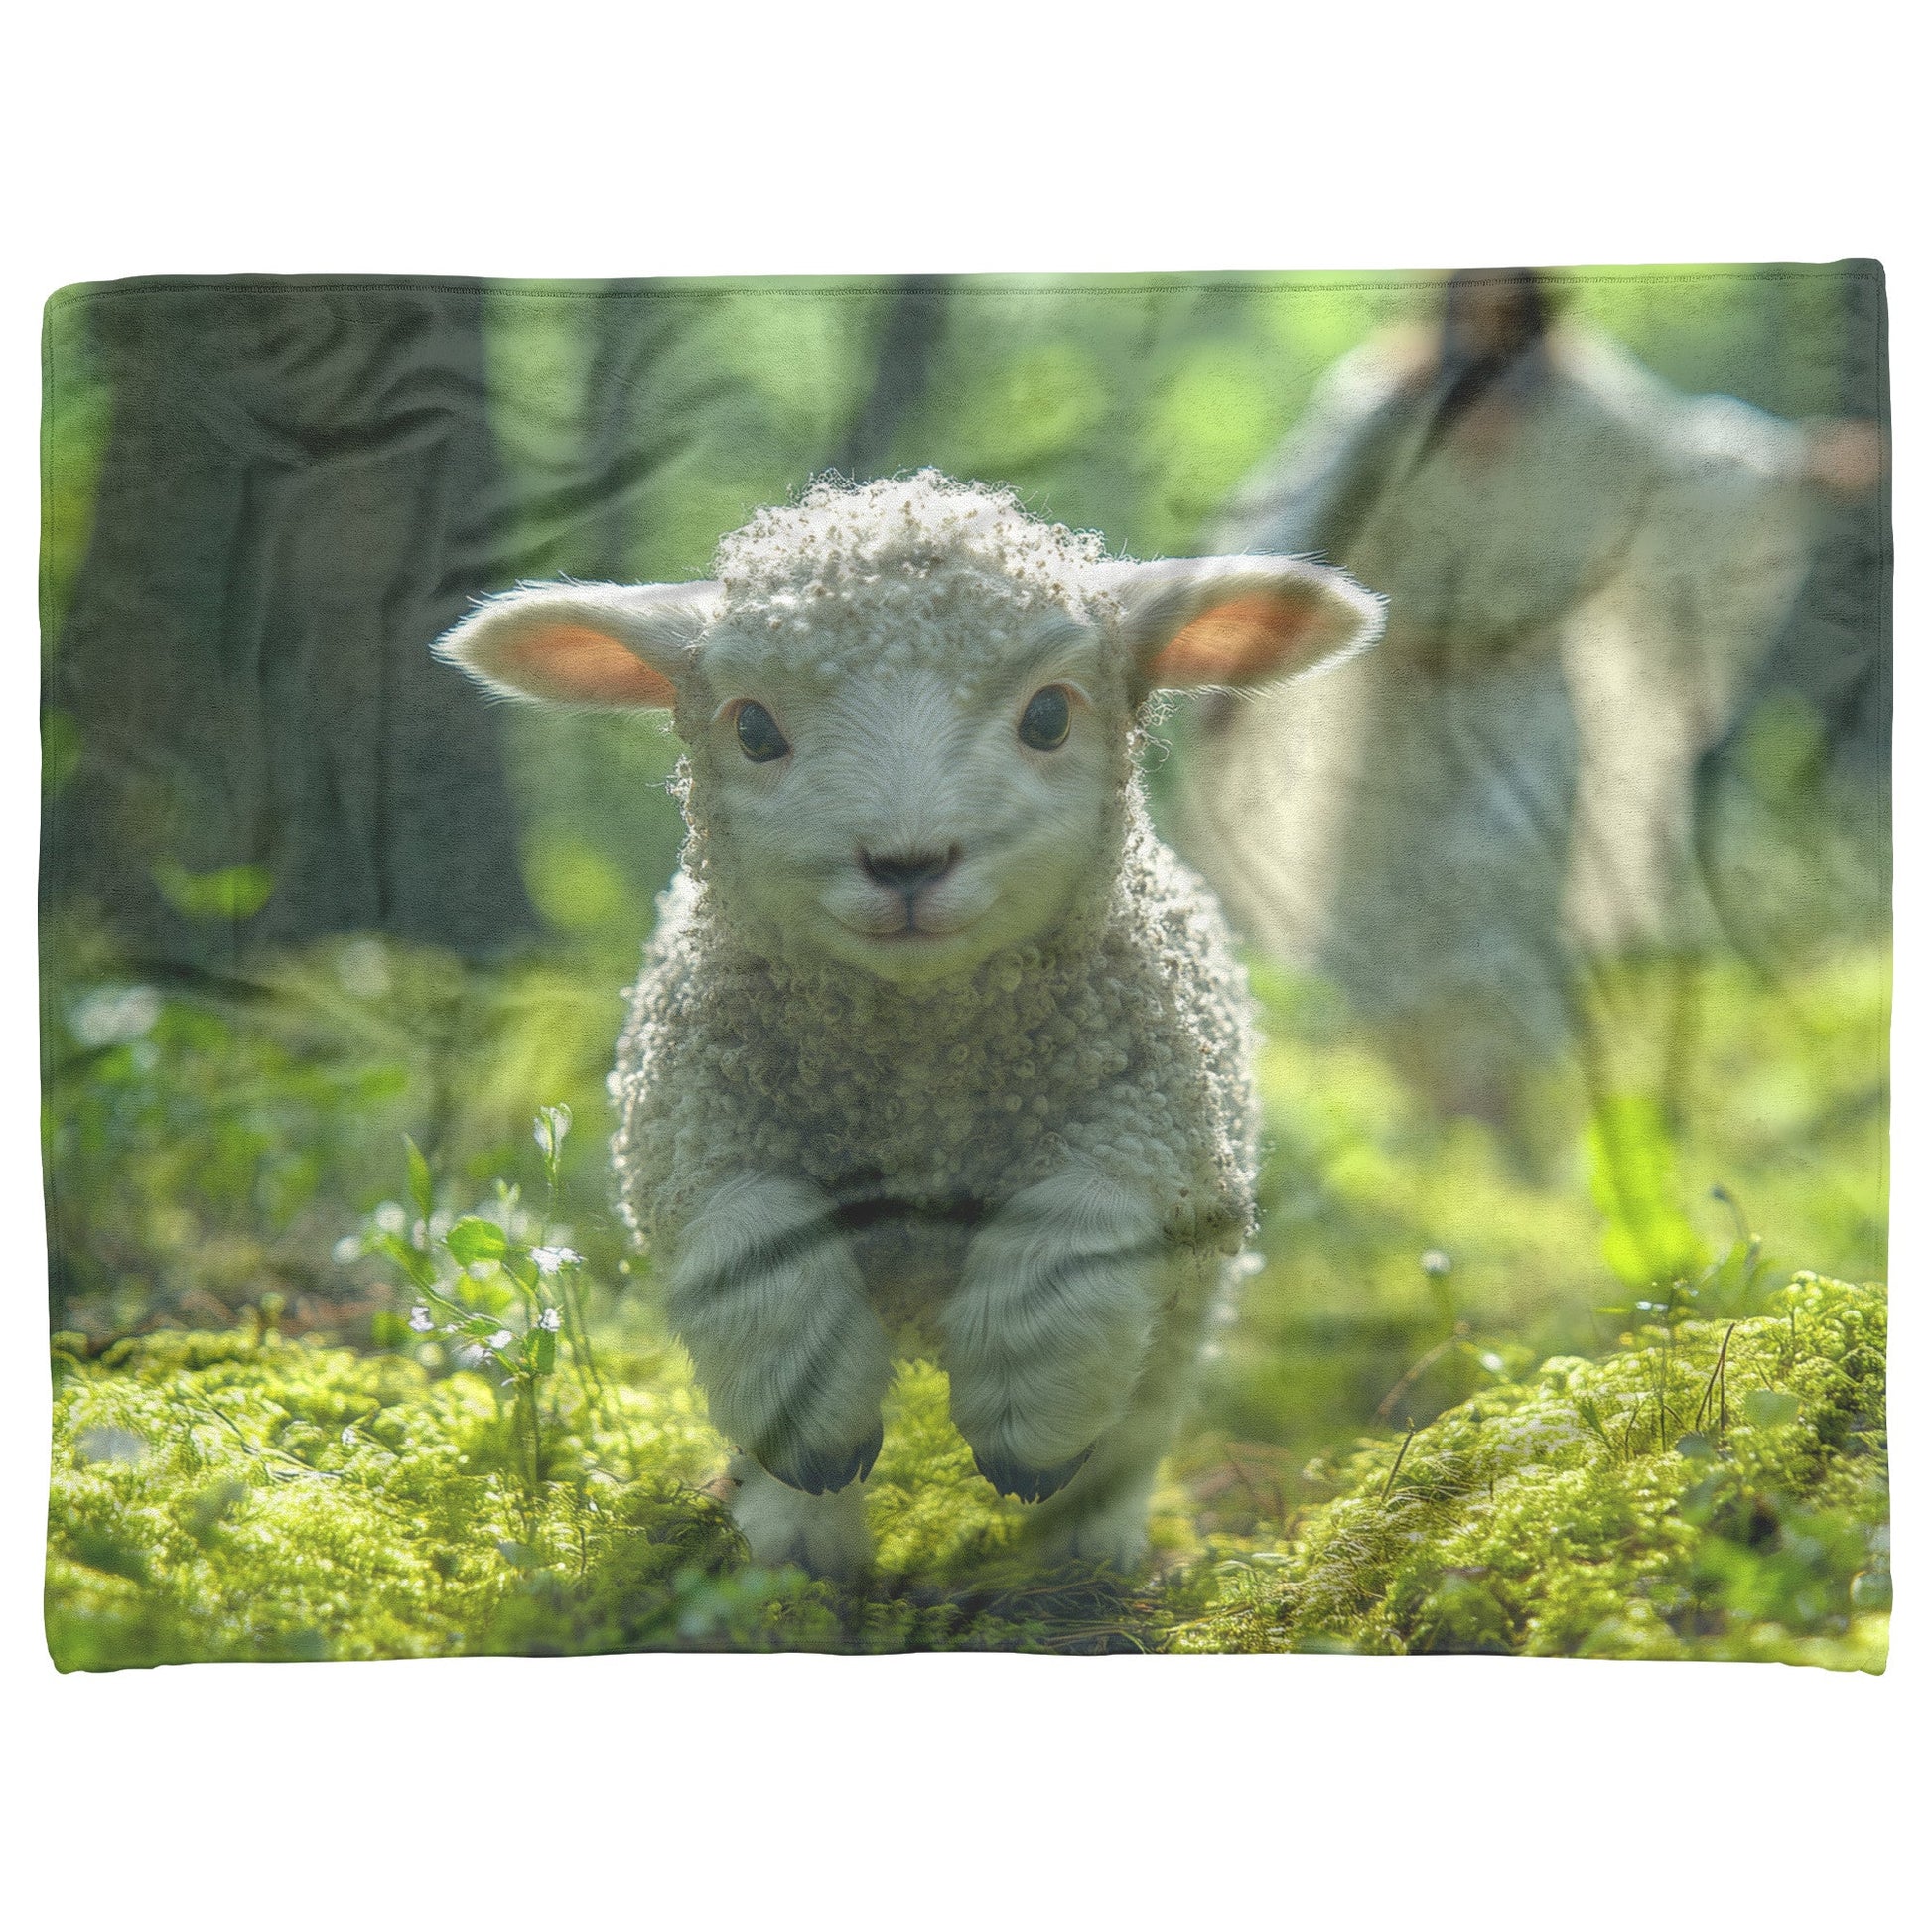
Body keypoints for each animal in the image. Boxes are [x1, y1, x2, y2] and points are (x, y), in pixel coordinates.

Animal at [436, 472, 1382, 1577]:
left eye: (1048, 714)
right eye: (753, 730)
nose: (905, 862)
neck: (923, 1072)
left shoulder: (1162, 1133)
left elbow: (1074, 1232)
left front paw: (1023, 1423)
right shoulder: (691, 1134)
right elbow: (751, 1245)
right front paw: (817, 1435)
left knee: (1145, 1409)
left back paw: (1081, 1549)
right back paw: (800, 1544)